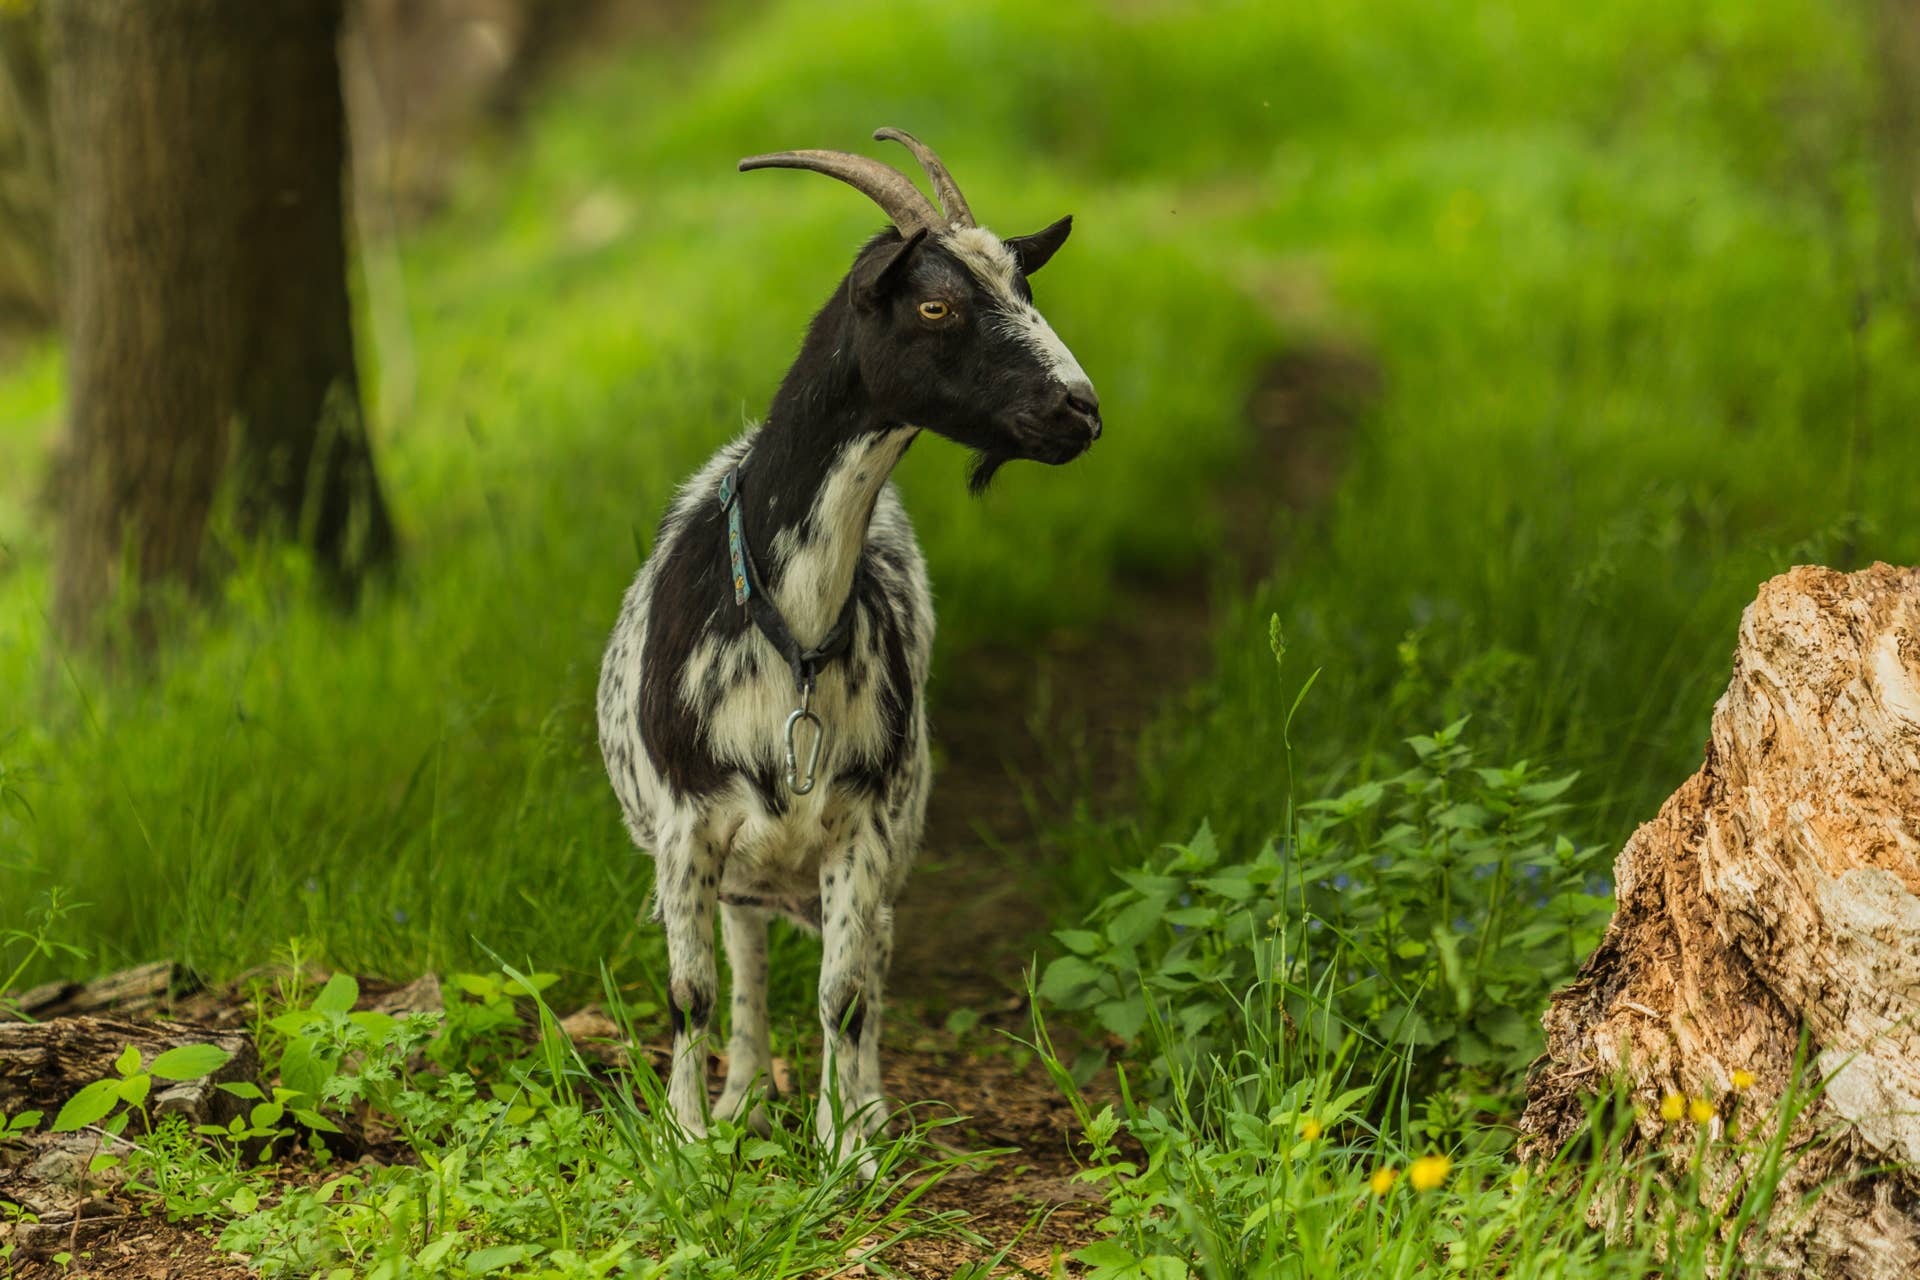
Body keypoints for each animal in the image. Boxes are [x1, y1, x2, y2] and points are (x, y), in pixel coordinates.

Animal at [596, 128, 1101, 1169]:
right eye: (937, 304)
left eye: (1025, 287)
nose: (1080, 409)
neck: (788, 620)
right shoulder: (686, 822)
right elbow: (692, 992)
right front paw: (686, 1139)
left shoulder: (865, 826)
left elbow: (845, 995)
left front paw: (848, 1147)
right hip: (738, 862)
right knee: (745, 958)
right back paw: (745, 1099)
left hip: (892, 836)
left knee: (870, 959)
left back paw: (858, 1108)